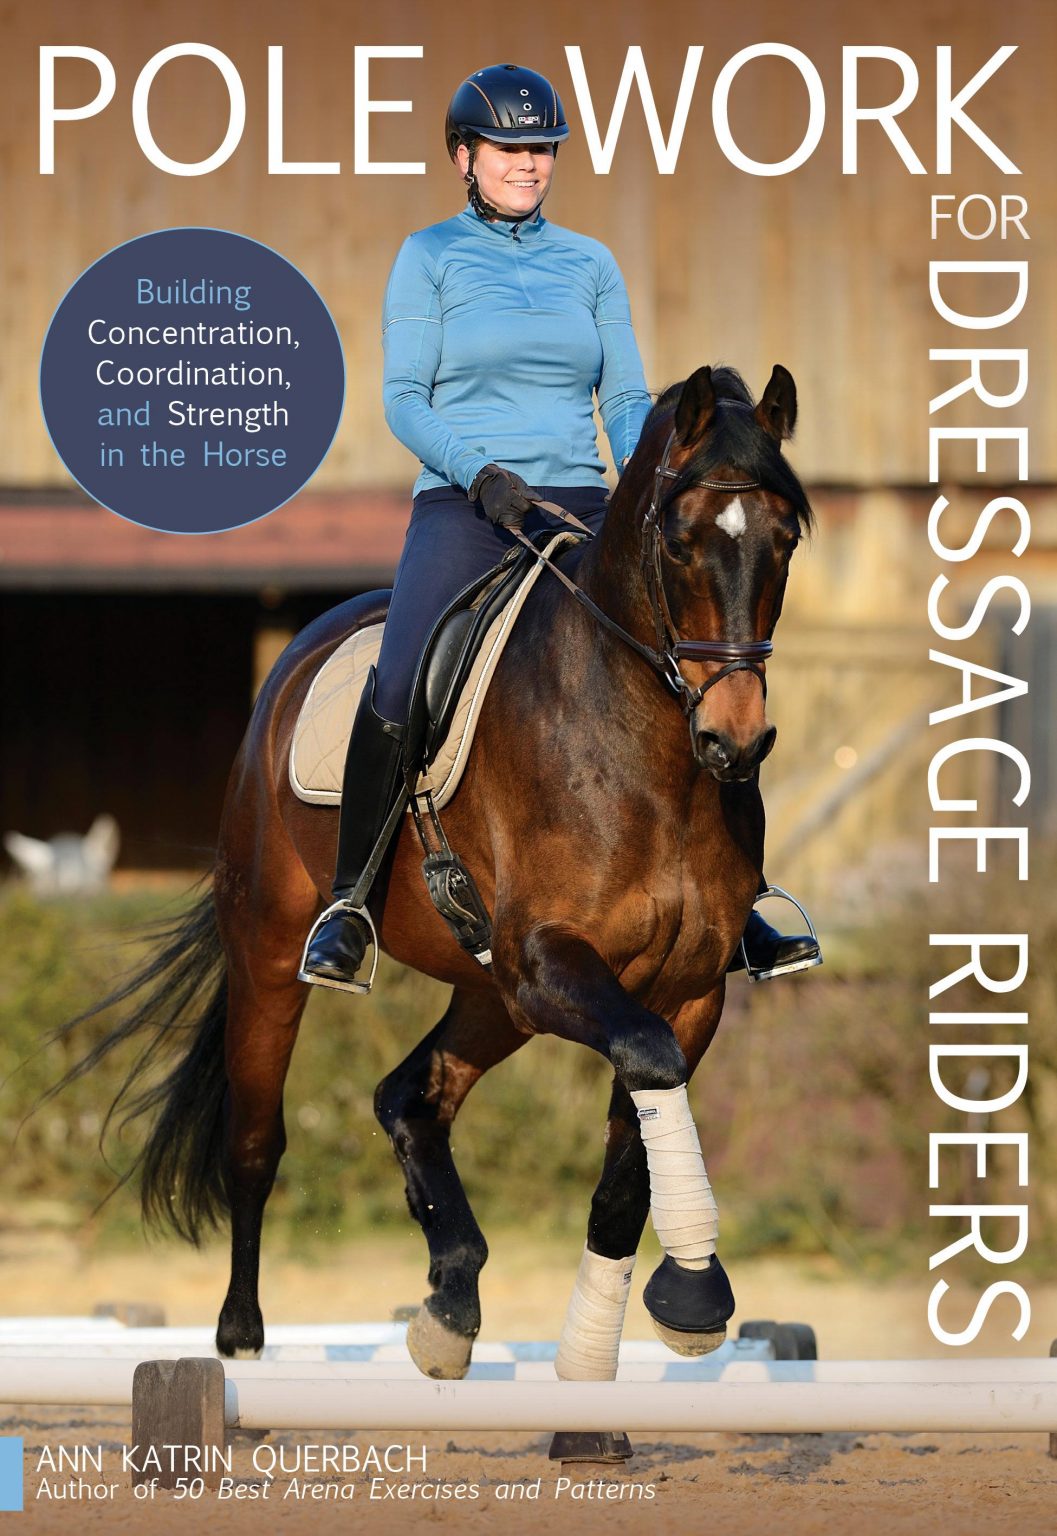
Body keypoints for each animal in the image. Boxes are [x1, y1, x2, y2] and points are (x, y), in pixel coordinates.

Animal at [41, 362, 813, 1380]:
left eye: (784, 541)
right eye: (681, 543)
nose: (735, 741)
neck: (647, 755)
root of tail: (300, 653)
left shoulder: (683, 987)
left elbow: (634, 1147)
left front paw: (612, 1340)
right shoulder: (548, 961)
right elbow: (647, 1062)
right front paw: (693, 1292)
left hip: (490, 994)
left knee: (409, 1095)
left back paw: (449, 1298)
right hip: (275, 956)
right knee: (255, 1143)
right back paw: (242, 1339)